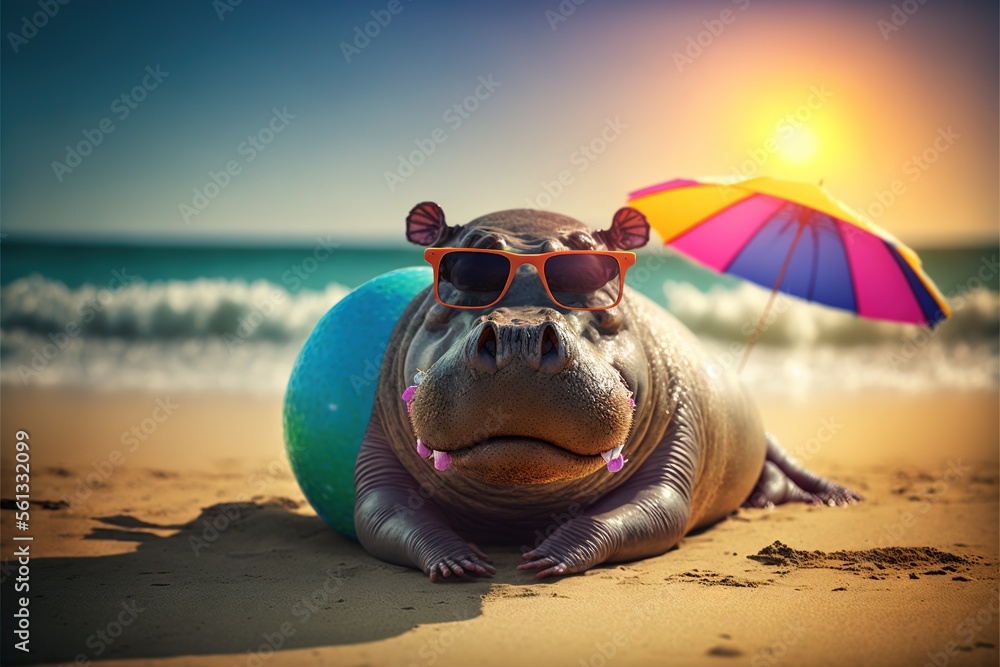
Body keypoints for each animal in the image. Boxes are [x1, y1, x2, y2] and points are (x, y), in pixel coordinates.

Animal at [354, 202, 860, 581]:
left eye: (590, 269)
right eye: (465, 268)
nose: (521, 337)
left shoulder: (678, 440)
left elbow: (650, 510)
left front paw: (551, 556)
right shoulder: (378, 450)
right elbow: (381, 511)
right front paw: (458, 561)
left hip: (769, 439)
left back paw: (836, 497)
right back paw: (767, 499)